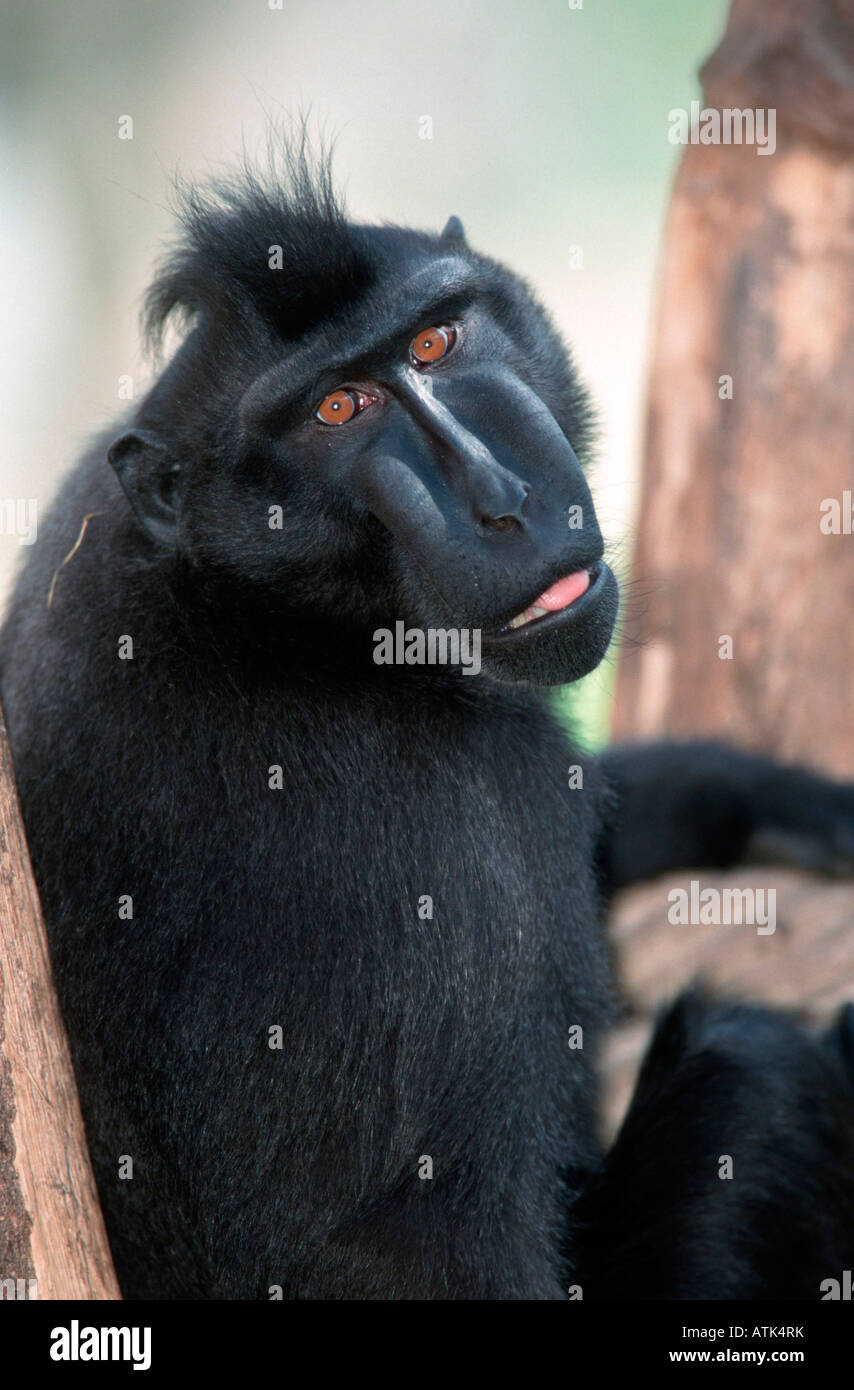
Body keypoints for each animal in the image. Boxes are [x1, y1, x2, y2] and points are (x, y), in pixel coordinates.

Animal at [1, 146, 854, 1299]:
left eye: (435, 343)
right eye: (338, 409)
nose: (504, 500)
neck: (247, 600)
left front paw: (761, 799)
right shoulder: (416, 849)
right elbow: (412, 1256)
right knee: (750, 1058)